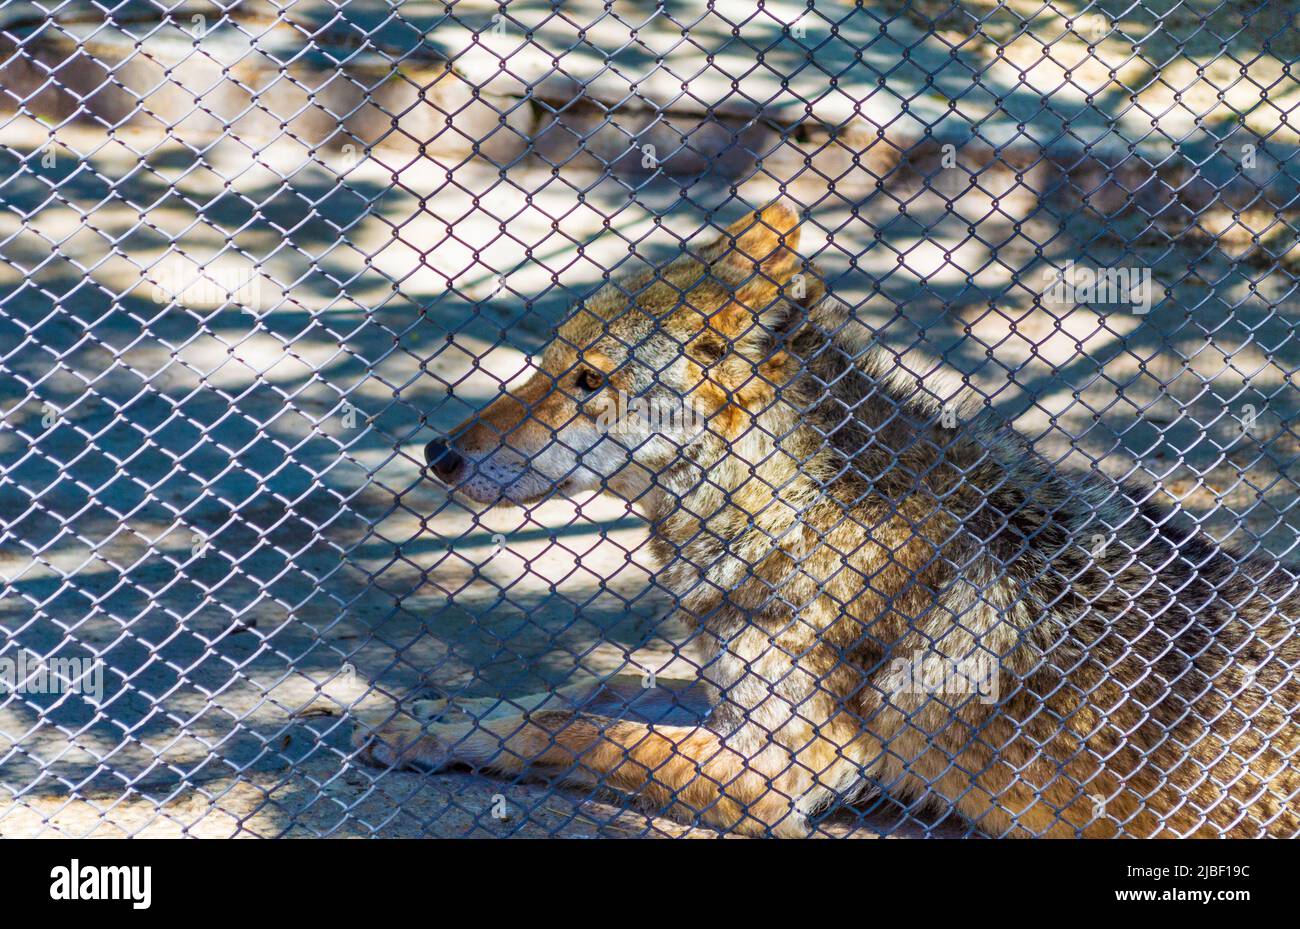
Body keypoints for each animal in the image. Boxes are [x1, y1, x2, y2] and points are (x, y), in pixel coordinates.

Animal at [355, 203, 1299, 837]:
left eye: (589, 380)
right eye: (546, 365)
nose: (438, 452)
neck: (800, 511)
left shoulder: (778, 774)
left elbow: (575, 726)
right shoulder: (724, 701)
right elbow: (565, 695)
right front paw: (419, 721)